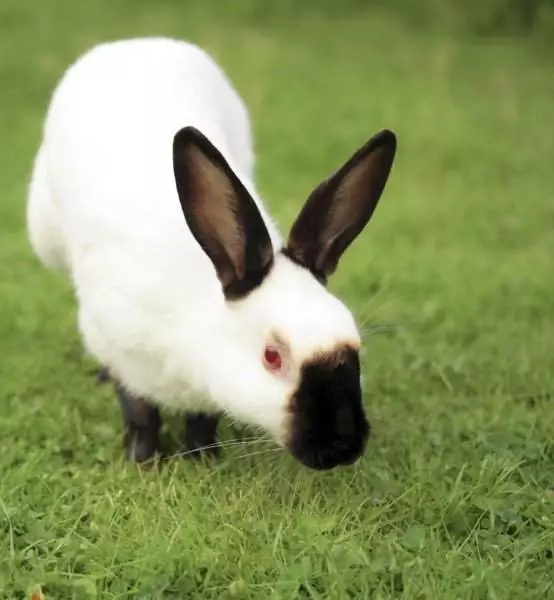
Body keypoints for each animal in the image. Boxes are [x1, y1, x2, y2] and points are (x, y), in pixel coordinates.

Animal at [27, 37, 396, 472]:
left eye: (355, 341)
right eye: (272, 357)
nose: (344, 446)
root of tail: (135, 43)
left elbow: (202, 421)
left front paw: (204, 459)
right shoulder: (123, 353)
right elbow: (140, 414)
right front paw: (144, 462)